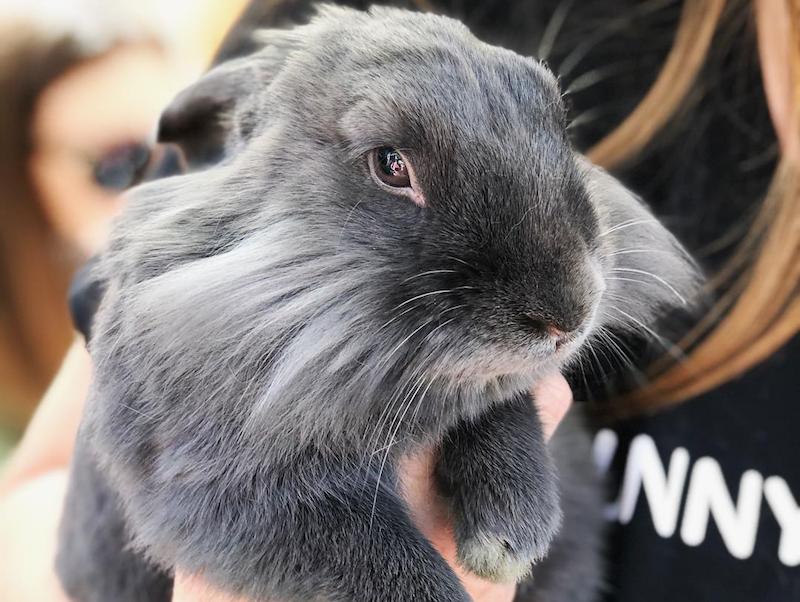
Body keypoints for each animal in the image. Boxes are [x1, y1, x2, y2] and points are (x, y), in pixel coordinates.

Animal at [56, 5, 701, 602]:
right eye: (391, 165)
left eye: (559, 126)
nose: (566, 316)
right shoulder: (228, 493)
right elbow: (384, 562)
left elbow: (498, 407)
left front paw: (508, 538)